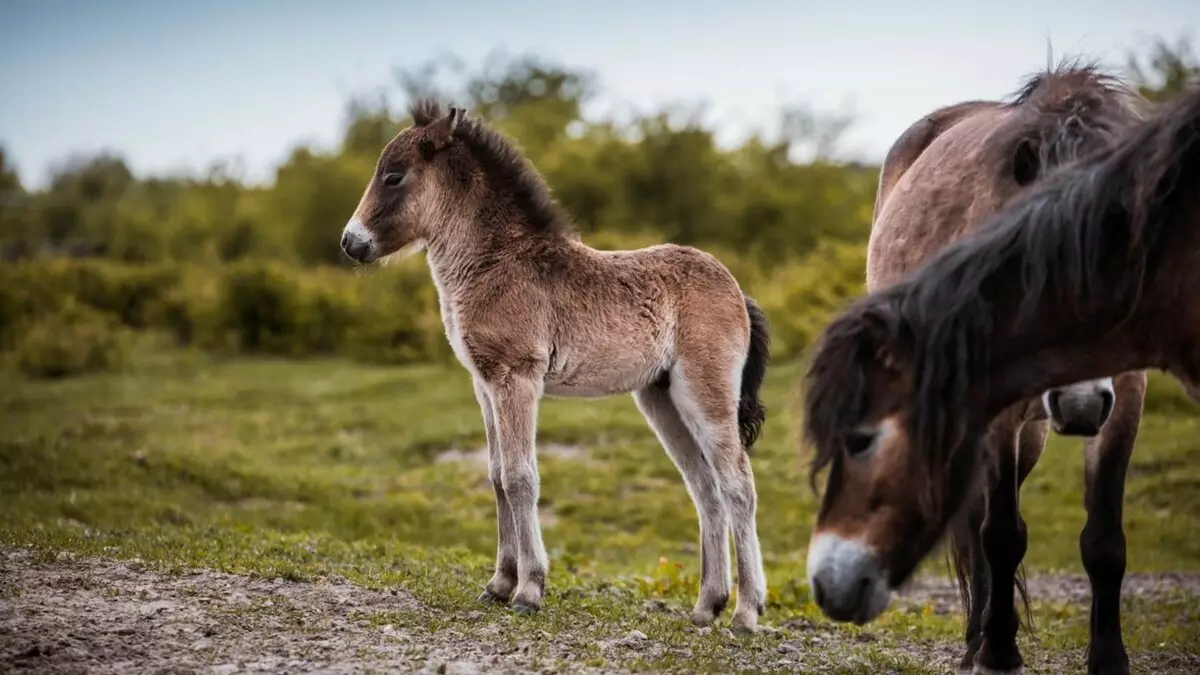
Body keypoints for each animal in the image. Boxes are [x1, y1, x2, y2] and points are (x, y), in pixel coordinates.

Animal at [338, 99, 772, 629]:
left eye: (394, 176)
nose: (350, 242)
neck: (495, 263)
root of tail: (737, 290)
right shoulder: (484, 384)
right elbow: (496, 475)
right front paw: (499, 584)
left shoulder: (517, 378)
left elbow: (521, 477)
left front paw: (529, 589)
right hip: (661, 399)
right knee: (705, 488)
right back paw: (707, 605)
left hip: (706, 393)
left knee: (738, 485)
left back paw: (746, 613)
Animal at [801, 81, 1200, 672]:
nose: (1080, 406)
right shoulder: (998, 414)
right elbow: (1002, 536)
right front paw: (999, 651)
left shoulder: (1123, 401)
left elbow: (1104, 542)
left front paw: (1109, 658)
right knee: (979, 529)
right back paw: (977, 642)